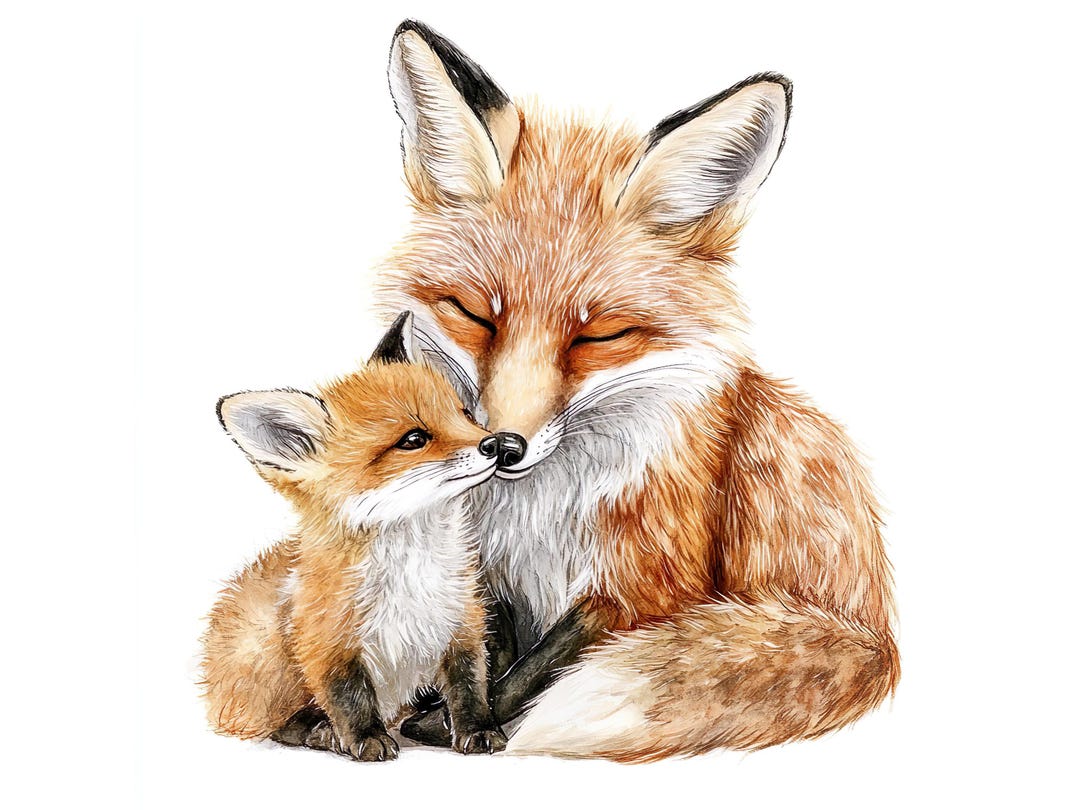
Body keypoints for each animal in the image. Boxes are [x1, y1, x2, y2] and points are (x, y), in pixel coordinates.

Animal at [201, 313, 511, 760]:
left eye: (464, 413)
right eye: (413, 439)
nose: (499, 443)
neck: (411, 575)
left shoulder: (461, 623)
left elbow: (469, 686)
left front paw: (478, 729)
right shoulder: (325, 641)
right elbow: (348, 696)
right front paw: (366, 739)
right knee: (279, 725)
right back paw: (321, 733)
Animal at [370, 21, 900, 761]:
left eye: (600, 335)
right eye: (474, 314)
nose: (503, 446)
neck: (537, 510)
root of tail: (878, 635)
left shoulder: (651, 581)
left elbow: (545, 663)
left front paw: (470, 722)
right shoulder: (491, 569)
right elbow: (491, 643)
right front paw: (447, 708)